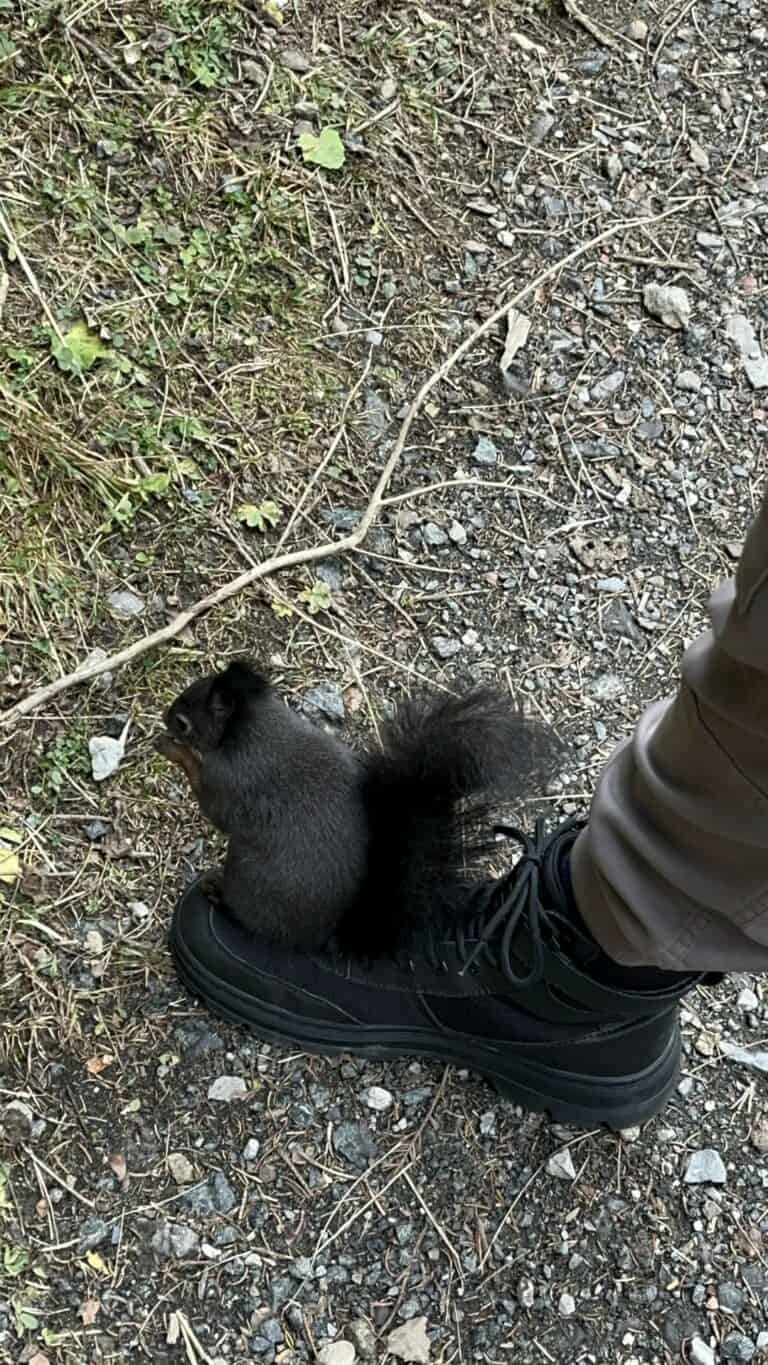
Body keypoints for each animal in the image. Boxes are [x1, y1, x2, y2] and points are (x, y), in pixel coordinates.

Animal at [155, 659, 556, 958]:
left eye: (184, 721)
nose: (165, 716)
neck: (251, 727)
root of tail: (322, 936)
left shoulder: (230, 777)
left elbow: (215, 807)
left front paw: (174, 750)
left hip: (248, 876)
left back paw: (219, 894)